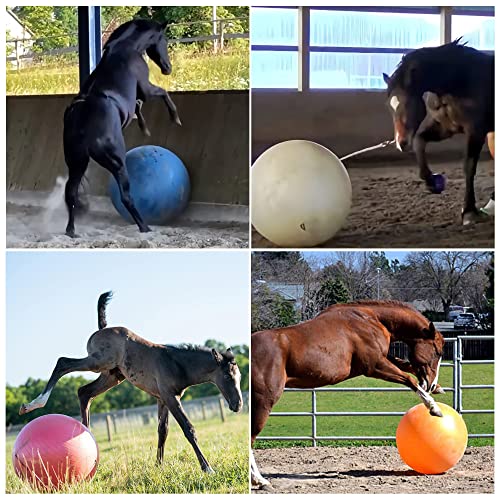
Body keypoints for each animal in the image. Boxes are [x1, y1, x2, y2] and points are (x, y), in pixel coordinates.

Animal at [20, 292, 243, 470]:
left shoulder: (162, 399)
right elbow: (188, 429)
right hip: (98, 362)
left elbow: (163, 431)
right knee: (63, 363)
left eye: (239, 377)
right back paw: (33, 404)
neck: (176, 363)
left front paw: (158, 466)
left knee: (84, 392)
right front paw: (207, 468)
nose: (238, 404)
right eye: (226, 376)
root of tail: (102, 329)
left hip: (111, 375)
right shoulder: (171, 397)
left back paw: (87, 437)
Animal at [63, 18, 182, 237]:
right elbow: (162, 93)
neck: (124, 49)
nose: (167, 68)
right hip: (117, 164)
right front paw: (175, 118)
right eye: (165, 40)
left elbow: (138, 106)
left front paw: (145, 128)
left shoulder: (138, 96)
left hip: (77, 164)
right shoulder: (146, 88)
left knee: (71, 194)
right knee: (126, 197)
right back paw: (144, 227)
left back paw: (71, 231)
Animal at [250, 300, 446, 488]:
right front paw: (434, 408)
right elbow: (408, 379)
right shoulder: (375, 366)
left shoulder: (382, 359)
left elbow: (406, 365)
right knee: (251, 439)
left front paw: (437, 389)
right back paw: (260, 481)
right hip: (264, 403)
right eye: (437, 352)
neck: (371, 319)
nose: (431, 383)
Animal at [384, 39, 494, 225]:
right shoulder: (445, 128)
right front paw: (430, 181)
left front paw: (469, 212)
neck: (461, 80)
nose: (401, 142)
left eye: (408, 102)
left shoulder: (476, 131)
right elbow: (419, 141)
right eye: (390, 106)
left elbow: (469, 167)